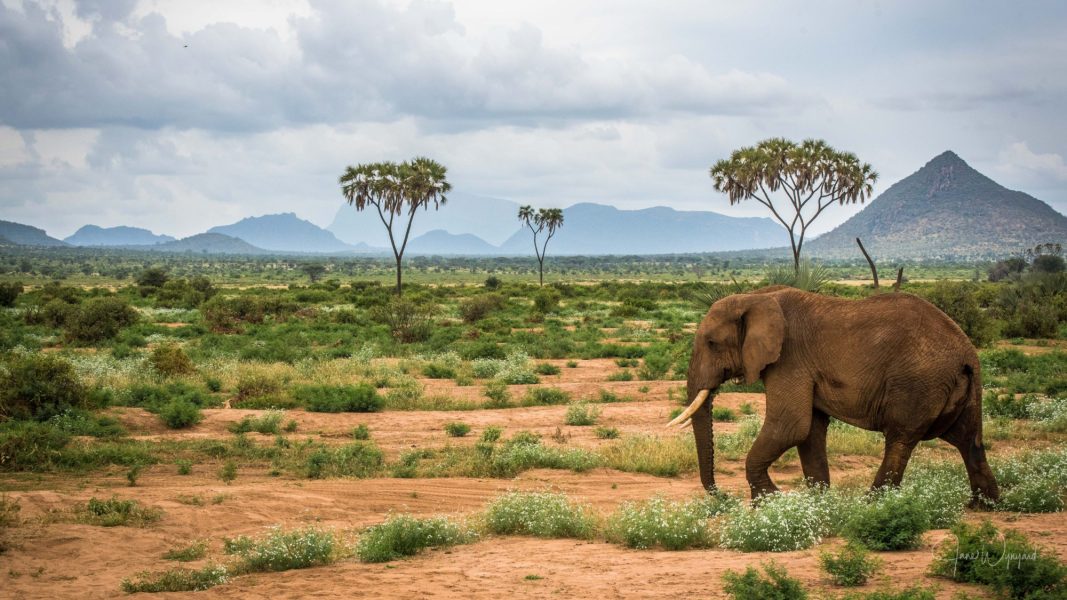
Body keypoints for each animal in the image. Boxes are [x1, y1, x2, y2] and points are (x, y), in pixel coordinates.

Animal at [668, 285, 999, 504]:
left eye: (711, 343)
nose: (722, 495)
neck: (756, 296)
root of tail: (967, 351)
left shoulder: (790, 359)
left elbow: (790, 426)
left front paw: (770, 501)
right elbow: (810, 431)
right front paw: (819, 501)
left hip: (917, 382)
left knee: (900, 438)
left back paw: (872, 505)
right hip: (959, 387)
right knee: (967, 440)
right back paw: (984, 505)